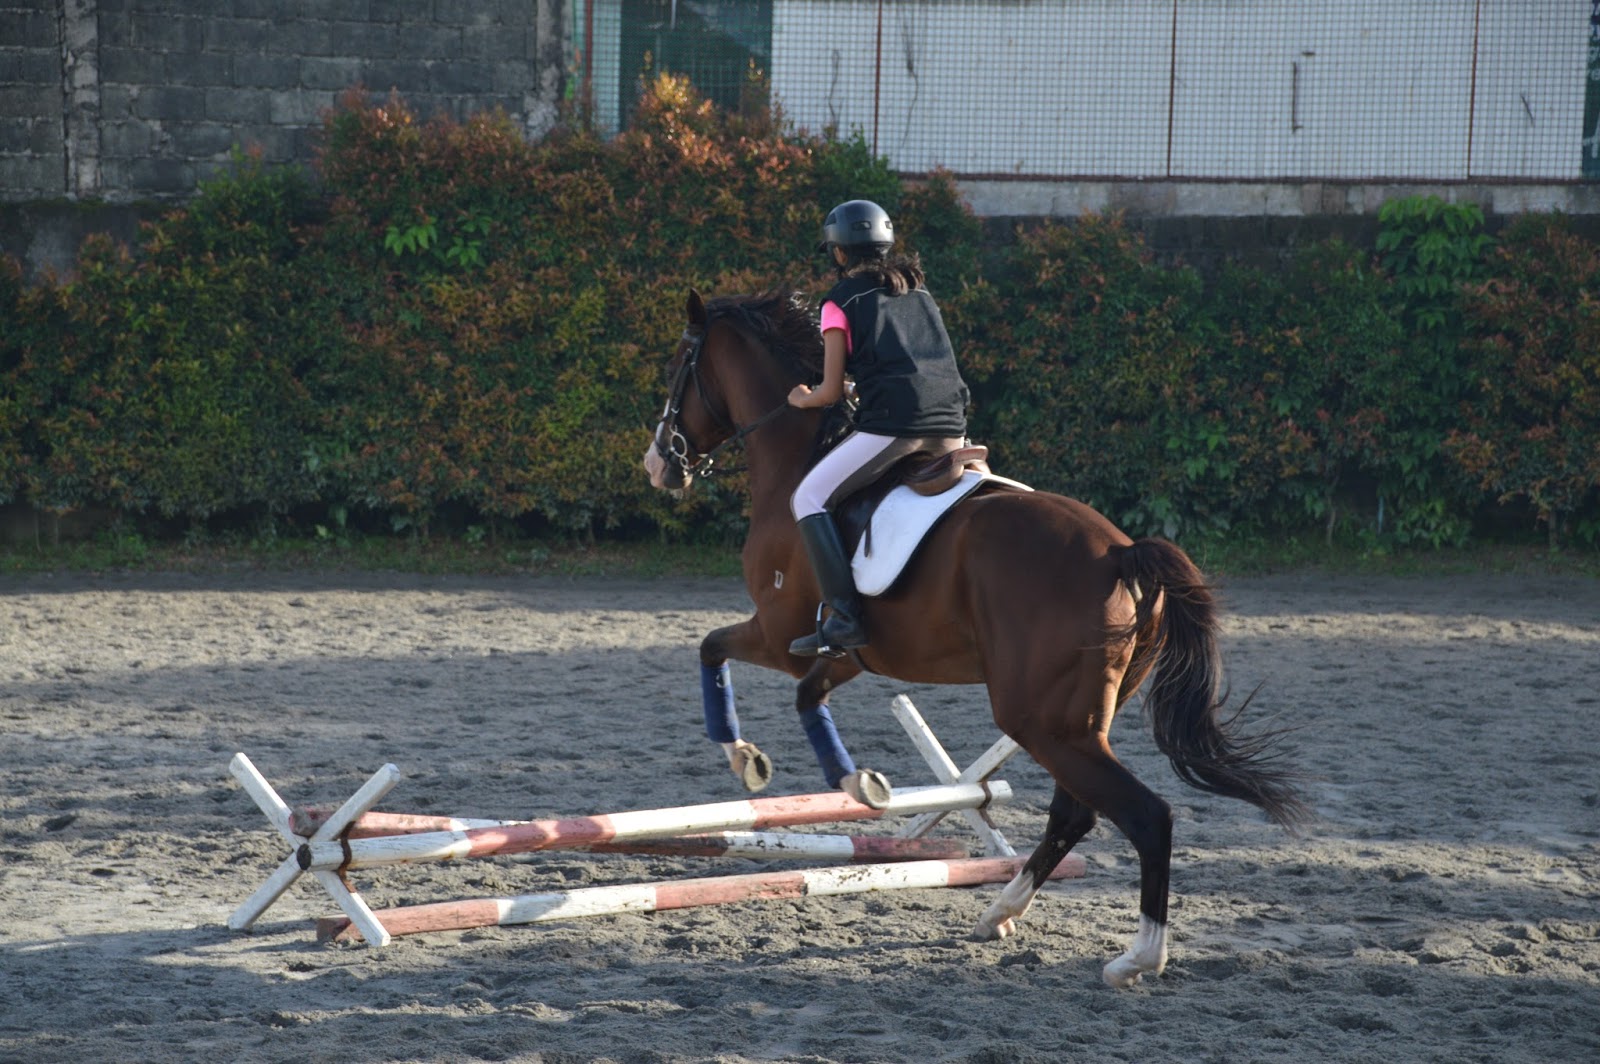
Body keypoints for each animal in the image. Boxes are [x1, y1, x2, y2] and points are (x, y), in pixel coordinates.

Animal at [642, 288, 1306, 987]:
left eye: (679, 367)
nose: (659, 462)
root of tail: (1120, 553)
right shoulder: (850, 650)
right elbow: (807, 694)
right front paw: (858, 783)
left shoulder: (777, 633)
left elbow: (712, 647)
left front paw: (745, 757)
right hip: (1077, 721)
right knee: (1075, 813)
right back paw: (999, 912)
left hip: (1041, 721)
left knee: (1144, 815)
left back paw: (1137, 956)